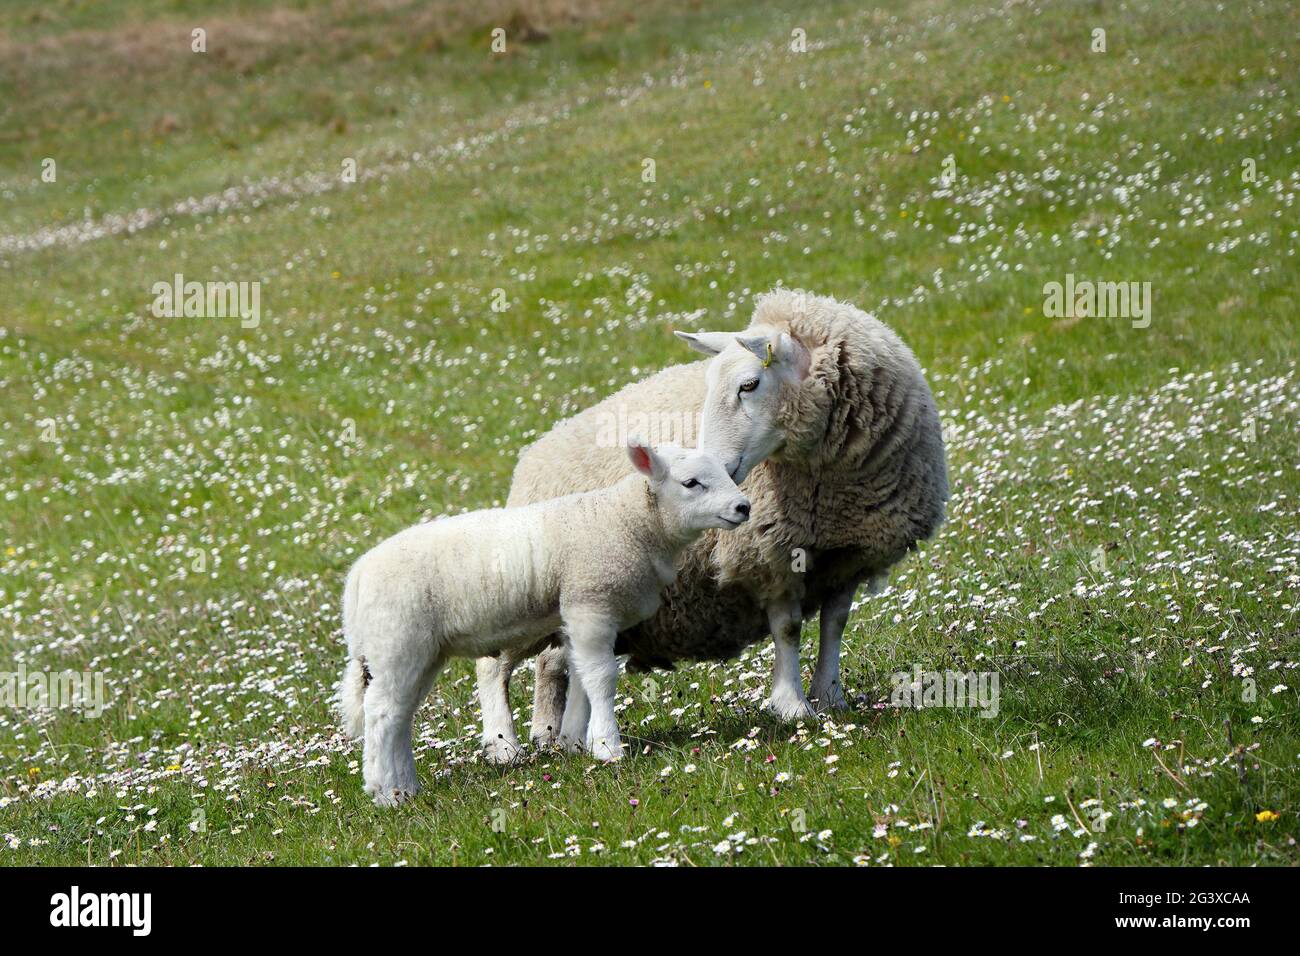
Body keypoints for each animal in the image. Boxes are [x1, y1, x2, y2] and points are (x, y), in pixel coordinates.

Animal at [337, 440, 751, 805]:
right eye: (691, 483)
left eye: (727, 472)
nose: (743, 507)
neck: (627, 520)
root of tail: (357, 578)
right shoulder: (590, 602)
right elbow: (601, 677)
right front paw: (608, 747)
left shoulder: (579, 616)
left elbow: (581, 676)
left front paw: (575, 742)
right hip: (397, 641)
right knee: (382, 713)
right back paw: (387, 793)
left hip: (419, 651)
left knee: (400, 715)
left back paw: (406, 786)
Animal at [476, 289, 948, 756]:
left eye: (749, 384)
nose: (713, 467)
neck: (832, 489)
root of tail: (533, 454)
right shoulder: (768, 553)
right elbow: (789, 628)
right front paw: (793, 706)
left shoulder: (847, 554)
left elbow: (835, 624)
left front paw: (830, 696)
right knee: (491, 665)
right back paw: (505, 745)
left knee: (553, 663)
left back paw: (552, 735)